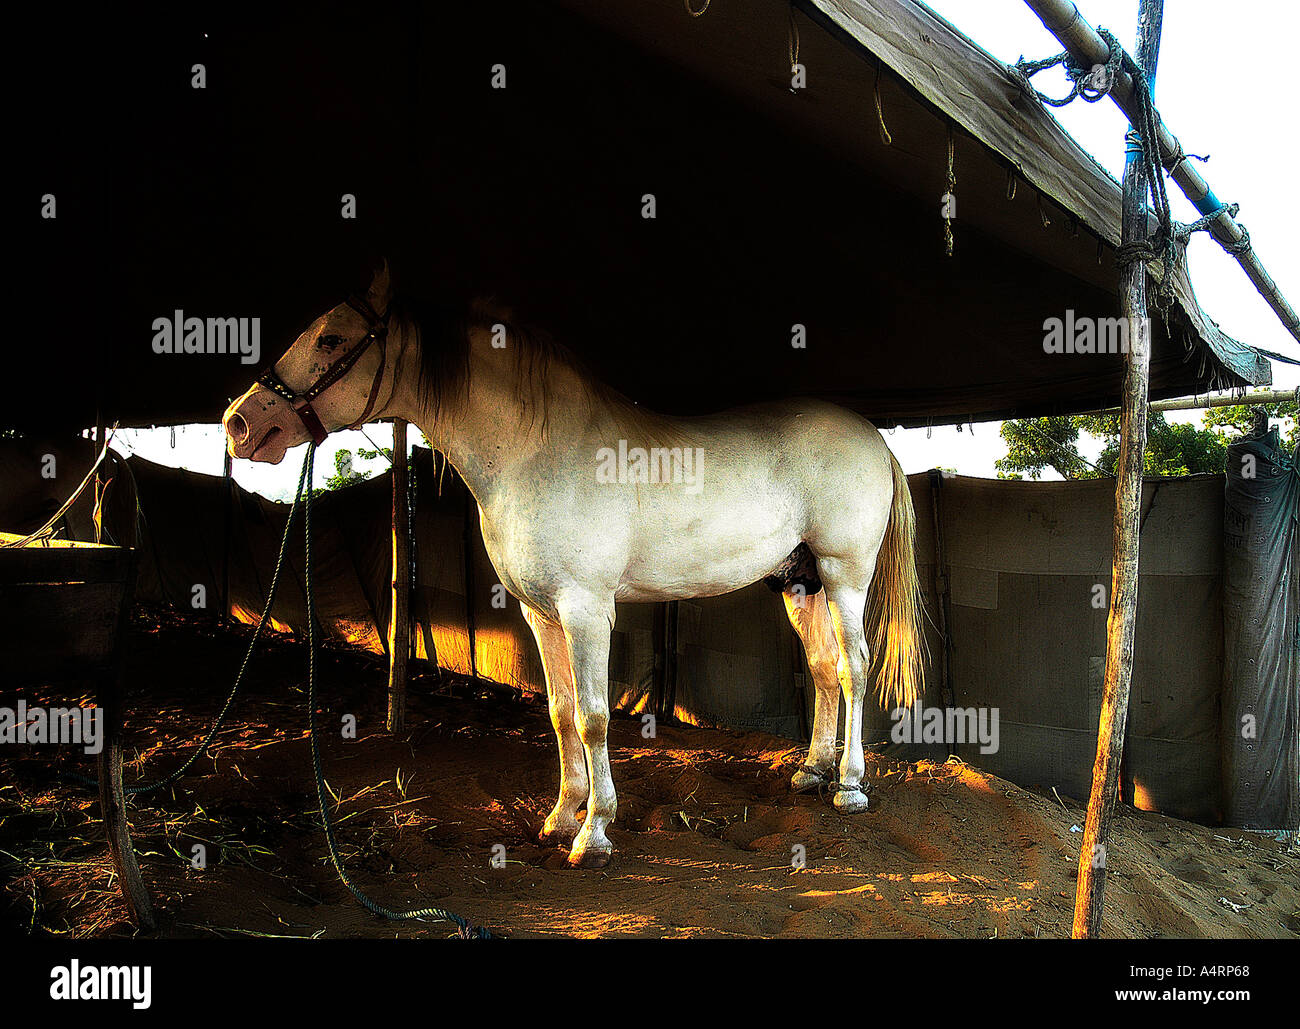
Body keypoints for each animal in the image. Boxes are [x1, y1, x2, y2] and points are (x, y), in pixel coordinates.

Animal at [222, 262, 927, 868]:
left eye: (331, 336)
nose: (237, 424)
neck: (533, 451)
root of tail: (872, 437)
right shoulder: (541, 612)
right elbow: (561, 713)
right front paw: (562, 817)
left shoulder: (586, 608)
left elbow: (593, 717)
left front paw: (595, 833)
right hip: (798, 580)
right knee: (825, 668)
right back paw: (811, 772)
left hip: (843, 574)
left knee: (854, 668)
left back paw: (850, 786)